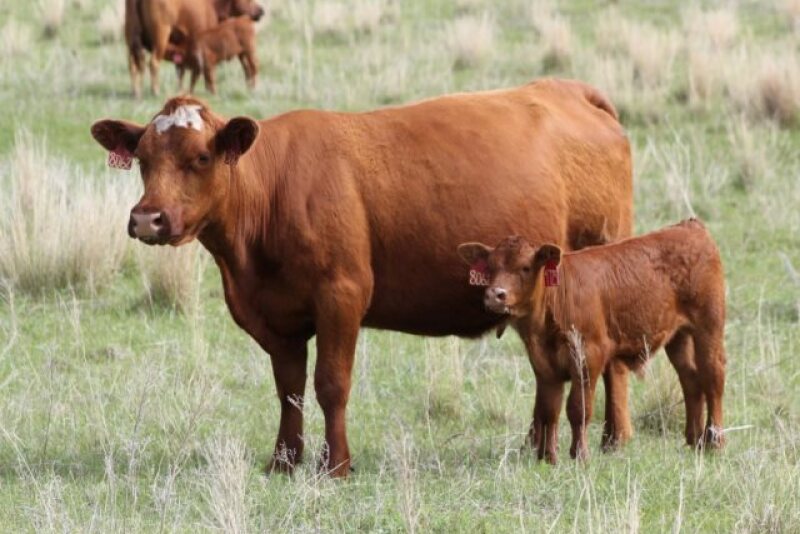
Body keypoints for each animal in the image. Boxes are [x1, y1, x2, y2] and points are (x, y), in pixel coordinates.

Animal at [89, 78, 633, 477]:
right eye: (142, 160)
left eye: (200, 158)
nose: (147, 219)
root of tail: (570, 90)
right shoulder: (275, 317)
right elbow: (289, 388)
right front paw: (284, 461)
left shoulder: (341, 296)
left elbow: (331, 383)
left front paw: (337, 466)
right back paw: (535, 444)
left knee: (613, 362)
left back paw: (614, 438)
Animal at [125, 0, 264, 98]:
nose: (262, 11)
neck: (212, 5)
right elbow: (205, 72)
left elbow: (180, 71)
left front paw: (181, 90)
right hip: (161, 37)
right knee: (153, 63)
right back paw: (155, 91)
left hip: (131, 42)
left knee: (133, 66)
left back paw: (135, 92)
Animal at [457, 219, 726, 463]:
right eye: (491, 268)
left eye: (525, 267)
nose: (495, 295)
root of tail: (690, 226)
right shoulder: (544, 366)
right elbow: (549, 409)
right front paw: (547, 458)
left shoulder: (589, 356)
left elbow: (578, 408)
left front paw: (580, 455)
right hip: (678, 336)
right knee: (691, 379)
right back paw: (695, 440)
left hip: (709, 326)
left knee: (712, 377)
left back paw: (715, 442)